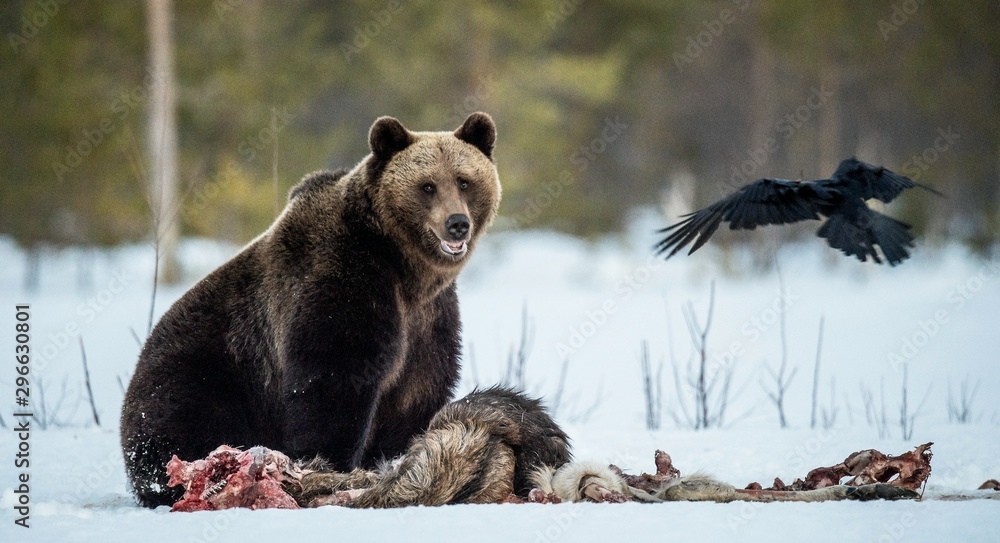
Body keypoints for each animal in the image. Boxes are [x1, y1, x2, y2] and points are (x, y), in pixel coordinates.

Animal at [120, 112, 501, 507]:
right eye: (427, 186)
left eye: (464, 181)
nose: (457, 223)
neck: (402, 266)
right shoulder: (341, 283)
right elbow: (332, 380)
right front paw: (330, 466)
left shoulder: (428, 319)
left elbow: (417, 391)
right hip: (203, 374)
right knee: (186, 421)